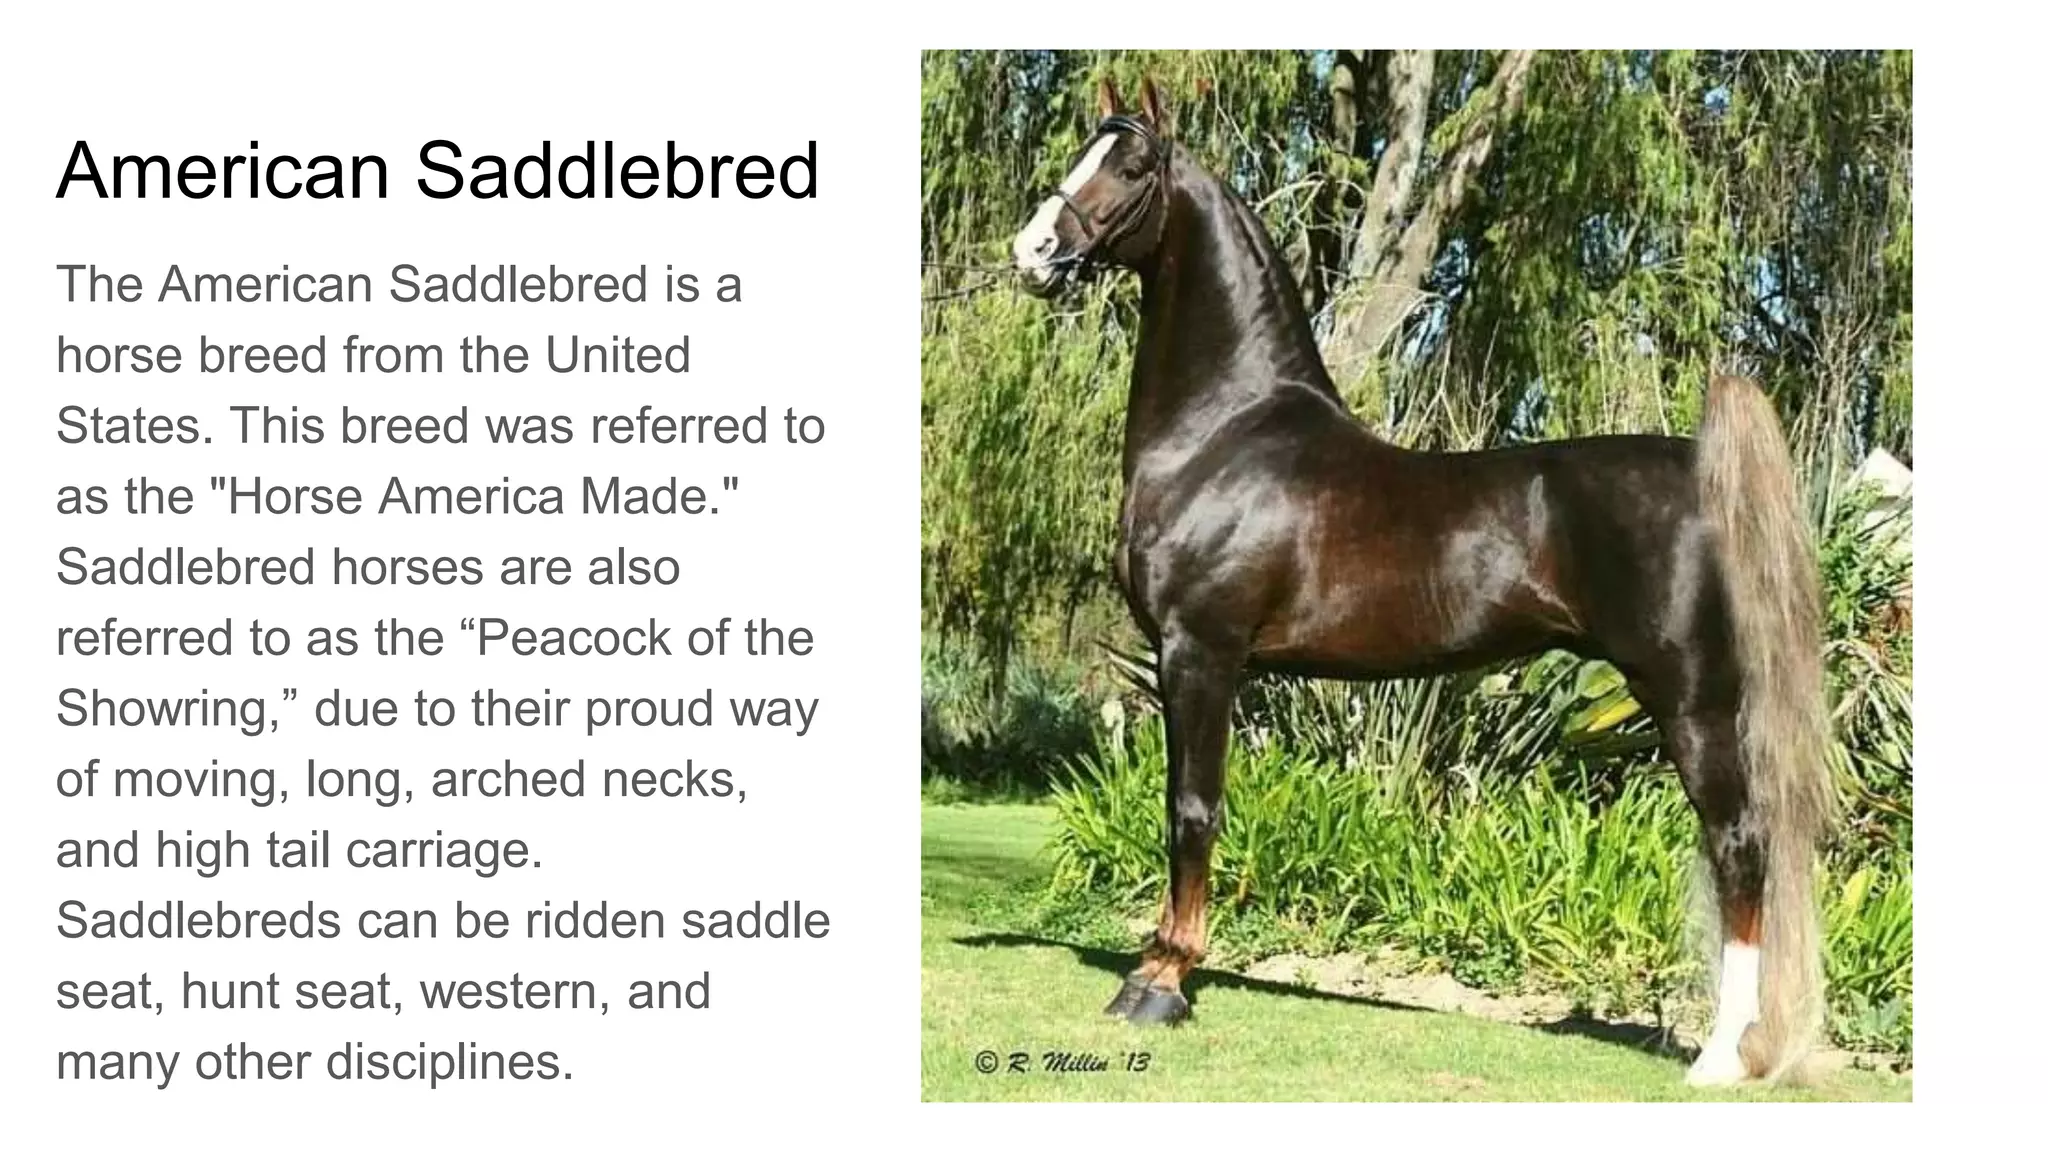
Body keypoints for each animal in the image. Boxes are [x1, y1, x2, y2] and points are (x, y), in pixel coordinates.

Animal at [1008, 76, 1834, 1087]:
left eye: (1128, 166)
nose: (1032, 250)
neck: (1224, 435)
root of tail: (1701, 468)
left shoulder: (1198, 655)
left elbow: (1191, 809)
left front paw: (1159, 980)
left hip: (1690, 698)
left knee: (1740, 845)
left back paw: (1722, 1054)